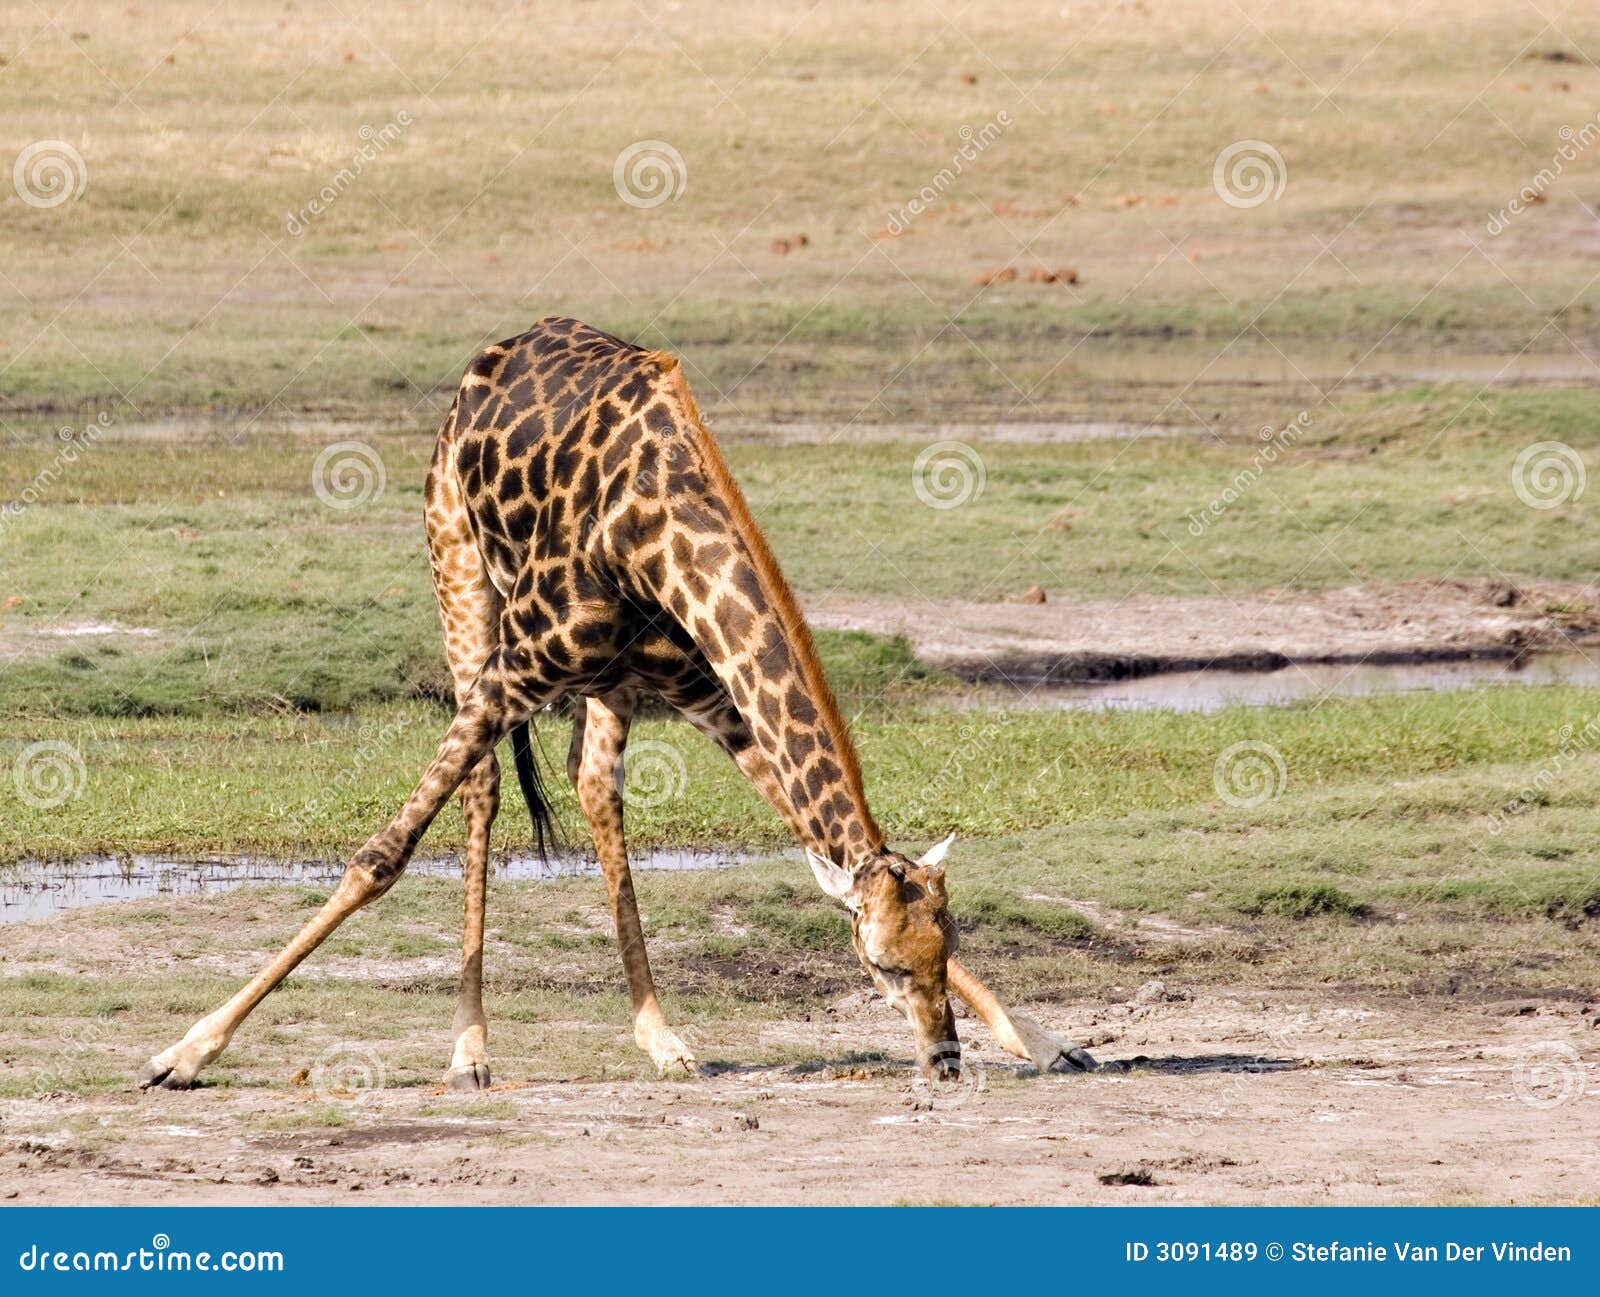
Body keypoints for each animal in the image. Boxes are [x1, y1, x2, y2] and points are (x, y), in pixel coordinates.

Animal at [138, 317, 1096, 1091]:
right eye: (885, 967)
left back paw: (660, 1036)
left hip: (608, 684)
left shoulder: (712, 692)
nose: (944, 1058)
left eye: (947, 948)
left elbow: (805, 830)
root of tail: (497, 352)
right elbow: (380, 857)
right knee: (485, 789)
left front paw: (1049, 1040)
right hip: (460, 576)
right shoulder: (521, 664)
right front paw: (186, 1050)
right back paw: (470, 1049)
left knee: (593, 784)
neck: (658, 534)